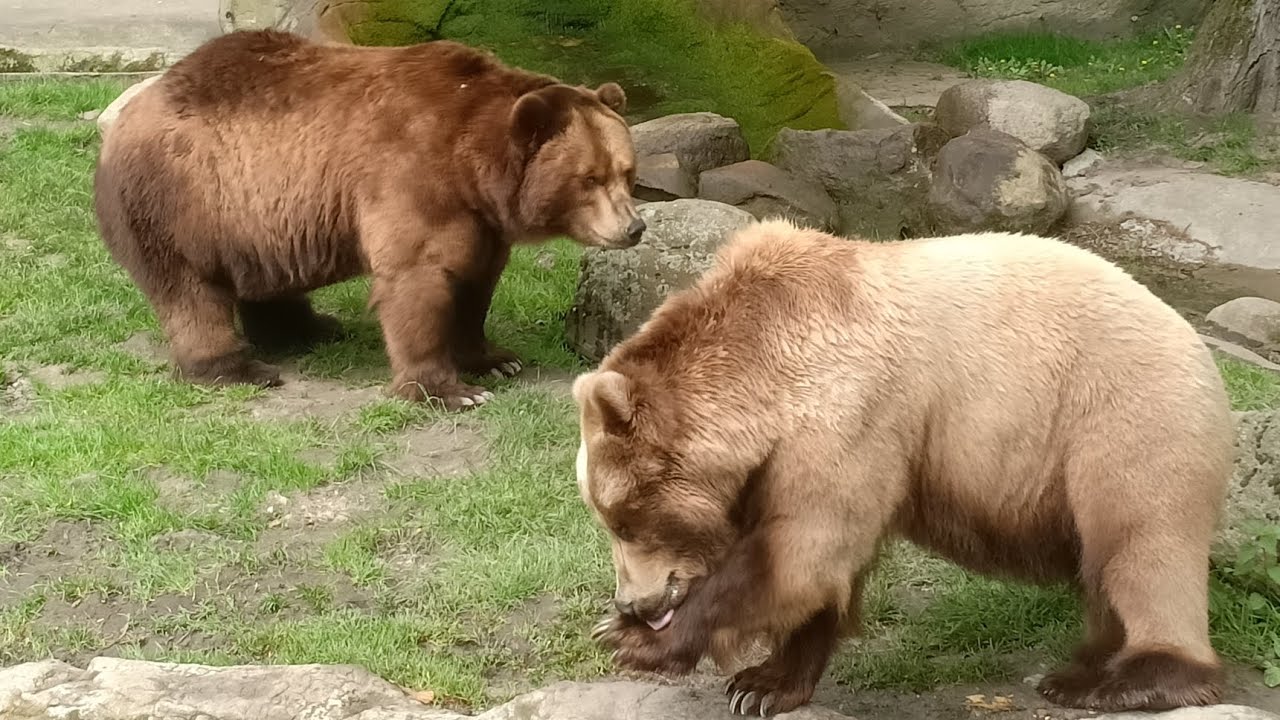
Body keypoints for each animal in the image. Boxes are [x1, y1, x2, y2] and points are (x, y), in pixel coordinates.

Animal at [93, 29, 645, 410]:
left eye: (627, 172)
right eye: (589, 178)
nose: (634, 228)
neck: (471, 164)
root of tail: (130, 110)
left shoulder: (481, 220)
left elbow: (476, 281)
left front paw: (494, 359)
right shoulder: (410, 176)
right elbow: (419, 277)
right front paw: (449, 390)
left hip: (258, 218)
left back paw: (309, 328)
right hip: (182, 200)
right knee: (189, 291)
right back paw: (237, 367)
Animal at [572, 219, 1234, 717]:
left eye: (625, 521)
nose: (634, 603)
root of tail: (1199, 348)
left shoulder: (852, 410)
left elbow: (806, 546)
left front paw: (634, 642)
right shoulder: (804, 450)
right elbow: (820, 567)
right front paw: (764, 683)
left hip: (1122, 416)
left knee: (1140, 543)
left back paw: (1121, 680)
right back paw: (1083, 664)